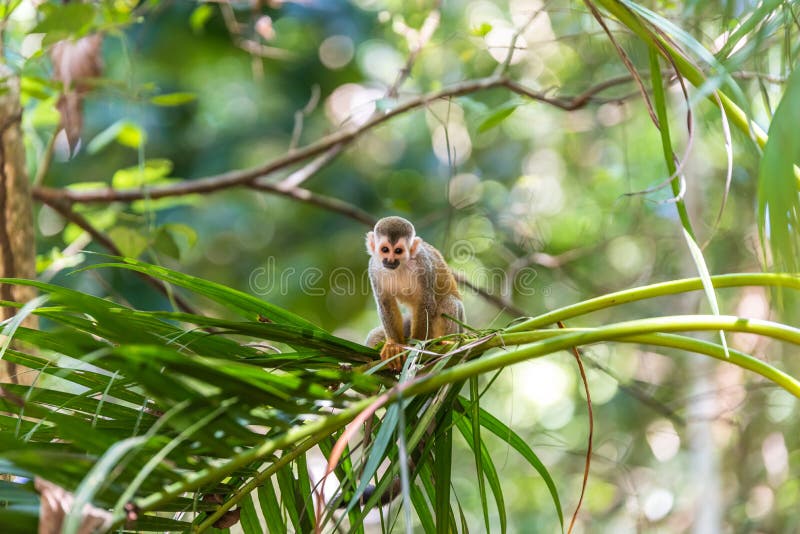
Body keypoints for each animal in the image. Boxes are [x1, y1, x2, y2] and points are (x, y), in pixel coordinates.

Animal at [365, 216, 465, 370]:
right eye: (385, 249)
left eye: (398, 250)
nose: (390, 260)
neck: (400, 266)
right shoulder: (374, 268)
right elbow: (385, 304)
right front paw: (394, 346)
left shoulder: (423, 265)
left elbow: (425, 302)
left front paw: (416, 345)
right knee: (374, 336)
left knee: (448, 302)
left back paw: (446, 342)